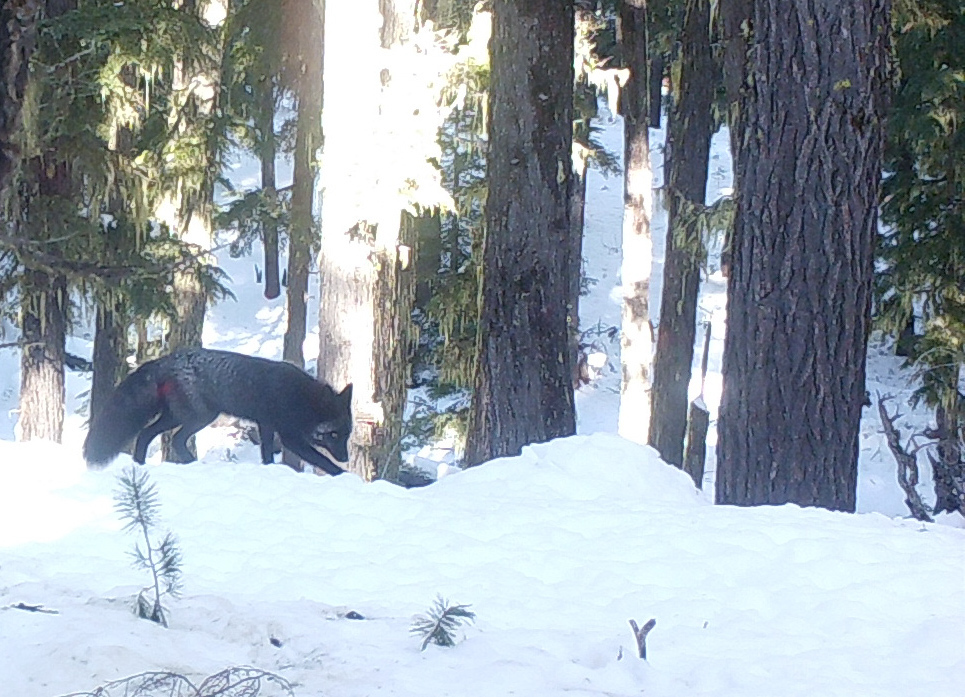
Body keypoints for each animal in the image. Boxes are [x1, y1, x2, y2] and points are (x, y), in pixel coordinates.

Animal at [83, 348, 352, 475]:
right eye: (333, 435)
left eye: (346, 435)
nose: (346, 458)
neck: (300, 399)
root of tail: (164, 360)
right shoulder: (289, 437)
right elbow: (321, 460)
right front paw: (342, 475)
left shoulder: (266, 425)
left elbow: (266, 453)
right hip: (198, 417)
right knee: (173, 439)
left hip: (177, 417)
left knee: (148, 435)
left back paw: (142, 466)